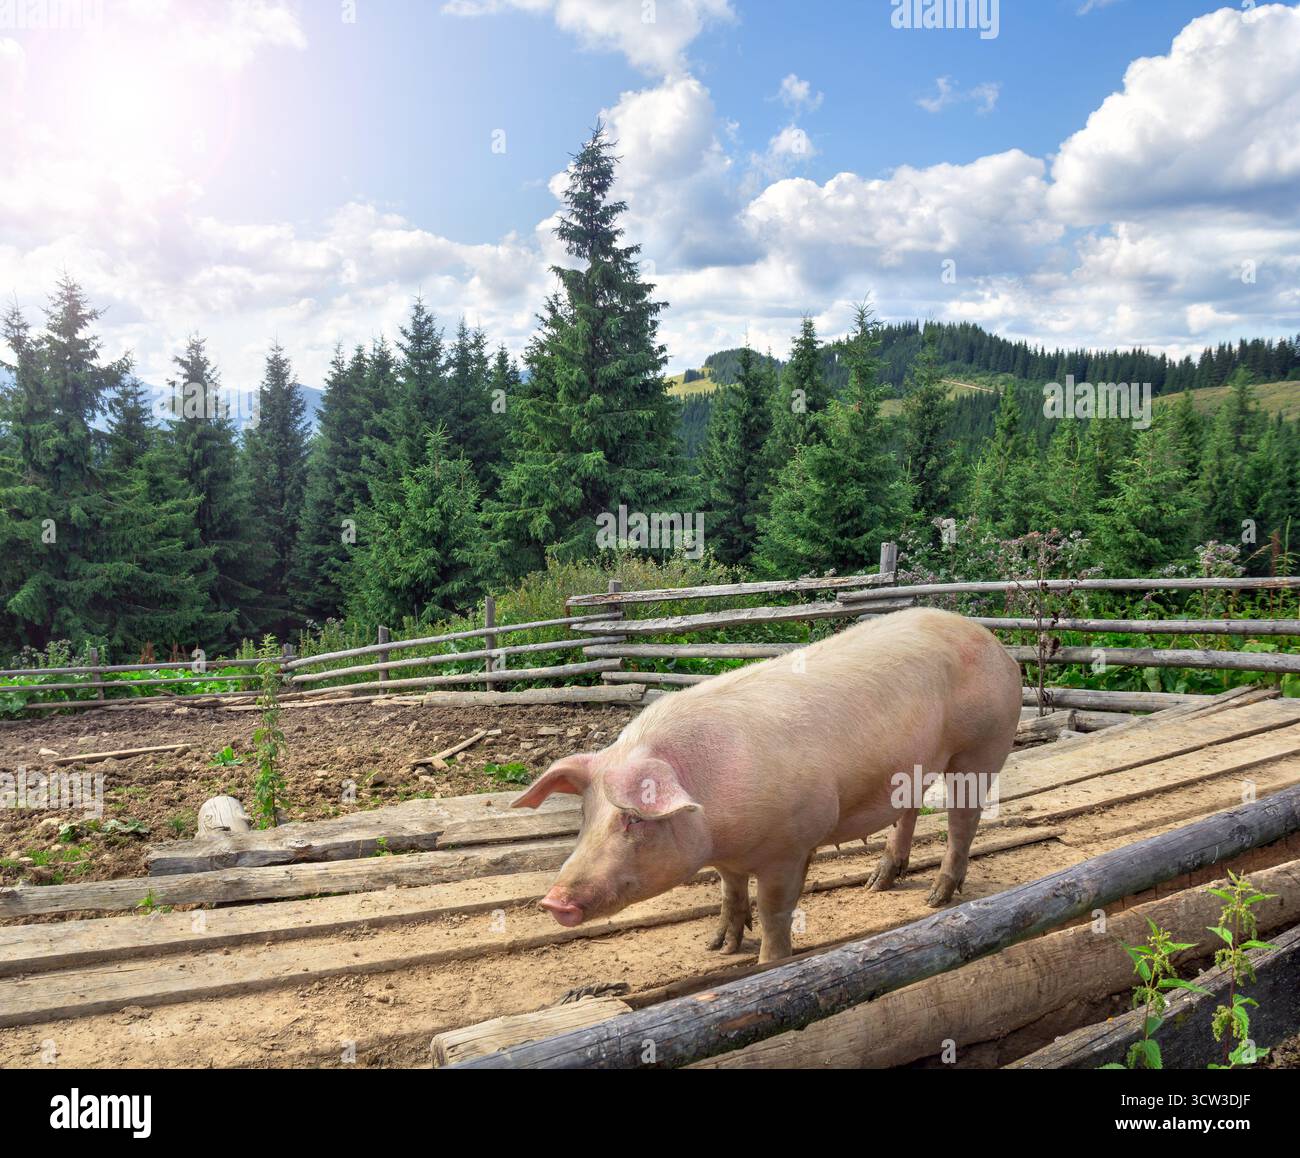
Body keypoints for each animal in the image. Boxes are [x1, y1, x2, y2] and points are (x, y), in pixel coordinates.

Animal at [513, 607, 1022, 962]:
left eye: (634, 819)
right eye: (586, 813)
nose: (553, 901)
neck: (715, 818)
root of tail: (994, 642)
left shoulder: (789, 846)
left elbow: (775, 908)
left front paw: (768, 962)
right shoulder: (729, 856)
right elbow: (730, 892)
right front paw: (717, 947)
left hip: (981, 745)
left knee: (962, 821)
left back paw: (936, 898)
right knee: (909, 811)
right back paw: (876, 885)